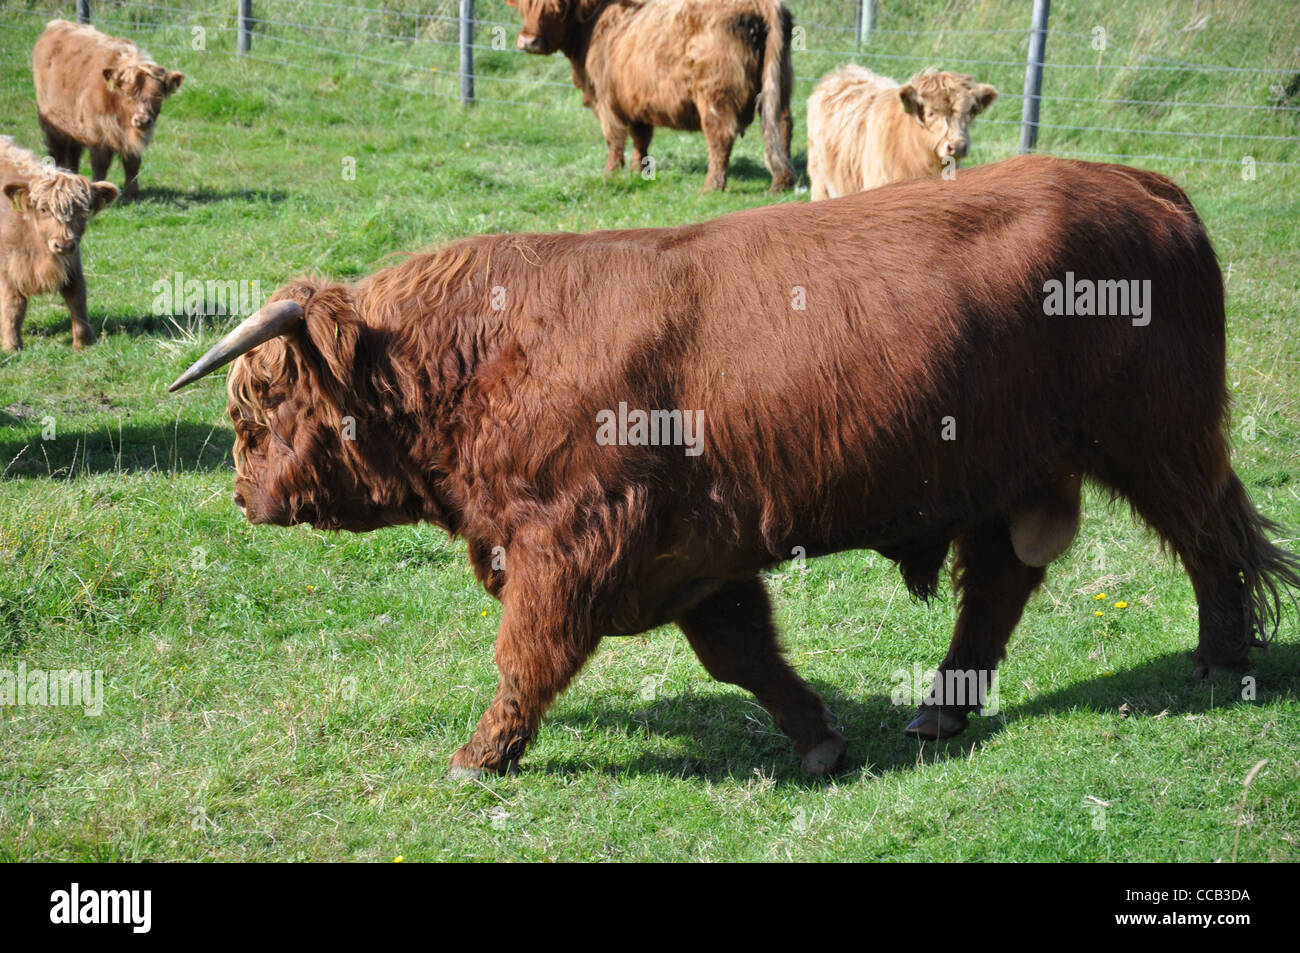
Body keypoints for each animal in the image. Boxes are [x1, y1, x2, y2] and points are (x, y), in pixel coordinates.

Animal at [1, 136, 117, 352]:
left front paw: (84, 342)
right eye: (43, 209)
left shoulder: (73, 263)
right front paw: (11, 346)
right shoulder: (9, 270)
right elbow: (13, 306)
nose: (63, 245)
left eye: (82, 211)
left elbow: (77, 298)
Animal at [33, 19, 183, 202]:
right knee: (58, 150)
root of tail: (56, 24)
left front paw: (132, 193)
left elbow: (133, 163)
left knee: (74, 153)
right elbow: (100, 163)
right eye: (127, 93)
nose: (142, 120)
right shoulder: (97, 135)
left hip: (73, 125)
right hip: (53, 123)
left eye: (157, 94)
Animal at [169, 155, 1299, 779]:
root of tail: (1149, 188)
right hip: (1017, 472)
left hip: (1158, 438)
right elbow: (744, 654)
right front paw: (820, 737)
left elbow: (526, 656)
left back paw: (1222, 655)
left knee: (1212, 535)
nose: (241, 495)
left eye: (261, 403)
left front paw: (480, 755)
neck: (479, 355)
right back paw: (942, 704)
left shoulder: (570, 544)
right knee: (1000, 586)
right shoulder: (690, 558)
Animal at [509, 0, 795, 192]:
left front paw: (611, 173)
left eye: (558, 7)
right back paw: (782, 182)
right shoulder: (635, 100)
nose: (528, 41)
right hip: (779, 84)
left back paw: (711, 186)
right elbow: (641, 137)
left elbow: (614, 138)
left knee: (720, 136)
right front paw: (638, 169)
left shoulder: (606, 99)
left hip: (716, 94)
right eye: (525, 6)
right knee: (782, 124)